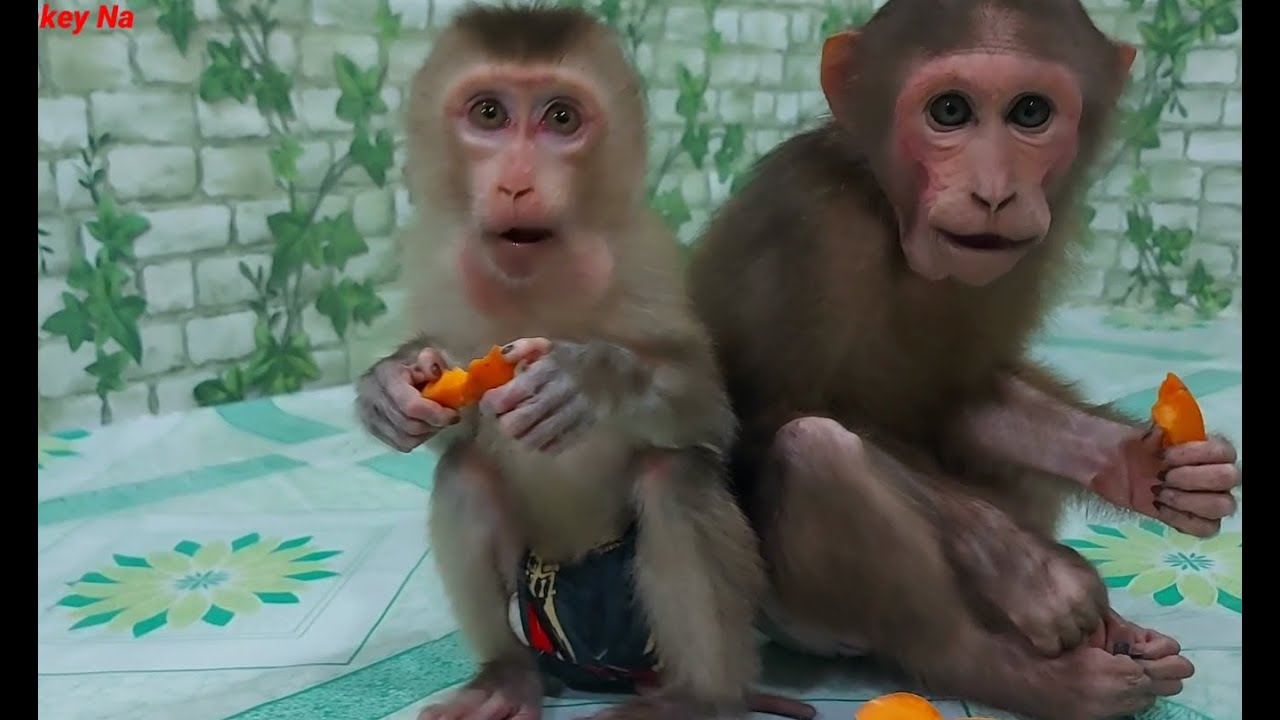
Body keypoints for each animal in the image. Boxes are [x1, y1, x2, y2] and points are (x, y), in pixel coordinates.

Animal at [354, 6, 814, 720]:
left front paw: (588, 381)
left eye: (561, 118)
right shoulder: (438, 257)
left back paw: (701, 697)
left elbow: (710, 412)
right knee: (466, 476)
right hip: (539, 610)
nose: (517, 183)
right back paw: (506, 676)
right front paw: (392, 385)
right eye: (489, 113)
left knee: (674, 478)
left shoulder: (644, 252)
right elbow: (455, 423)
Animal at [685, 1, 1240, 719]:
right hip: (794, 619)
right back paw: (1005, 669)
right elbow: (760, 413)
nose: (994, 194)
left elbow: (966, 401)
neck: (889, 211)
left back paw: (1117, 635)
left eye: (1030, 112)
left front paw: (1138, 467)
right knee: (816, 451)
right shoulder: (803, 221)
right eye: (949, 111)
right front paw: (1033, 574)